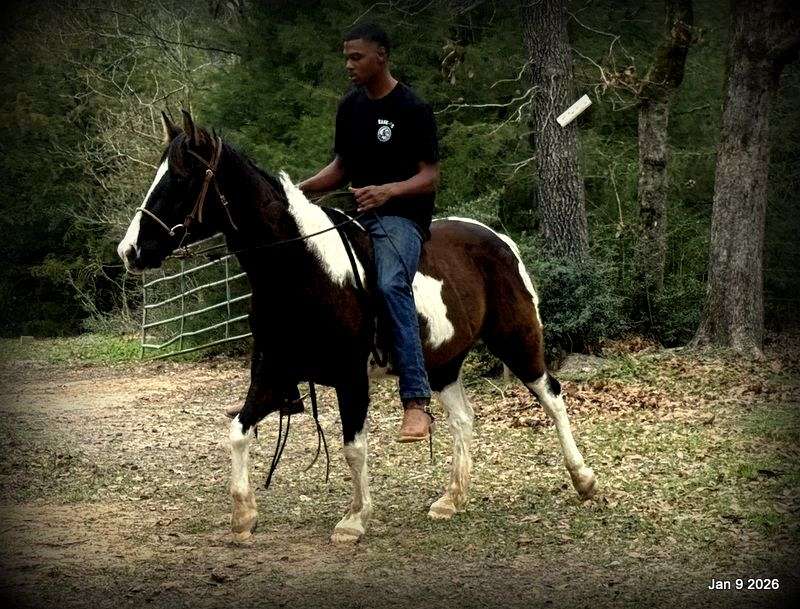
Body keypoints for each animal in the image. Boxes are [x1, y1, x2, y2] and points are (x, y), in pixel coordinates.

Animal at [117, 110, 597, 543]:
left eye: (181, 179)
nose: (129, 250)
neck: (305, 273)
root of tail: (499, 239)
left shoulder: (351, 378)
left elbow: (353, 447)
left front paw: (353, 519)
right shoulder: (273, 375)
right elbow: (237, 431)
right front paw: (243, 516)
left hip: (516, 340)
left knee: (552, 397)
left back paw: (584, 480)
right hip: (442, 363)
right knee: (463, 419)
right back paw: (451, 498)